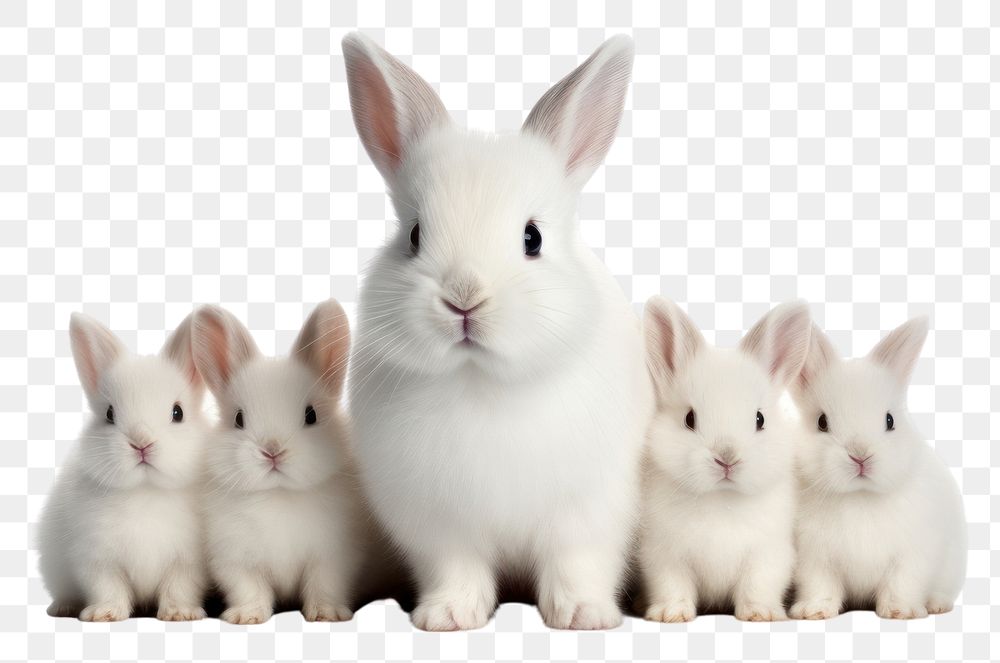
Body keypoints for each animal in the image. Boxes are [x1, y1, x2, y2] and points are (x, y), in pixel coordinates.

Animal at [37, 312, 208, 621]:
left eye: (177, 412)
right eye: (109, 413)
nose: (141, 442)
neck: (145, 490)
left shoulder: (188, 562)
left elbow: (179, 587)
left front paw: (179, 613)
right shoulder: (97, 559)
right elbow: (108, 587)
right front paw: (103, 614)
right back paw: (63, 607)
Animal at [192, 301, 367, 624]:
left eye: (311, 415)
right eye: (238, 419)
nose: (272, 450)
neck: (278, 494)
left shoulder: (333, 558)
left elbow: (324, 585)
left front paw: (327, 614)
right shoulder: (235, 561)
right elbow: (250, 589)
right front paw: (246, 617)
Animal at [341, 32, 654, 630]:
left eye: (532, 238)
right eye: (414, 235)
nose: (464, 297)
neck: (480, 381)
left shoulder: (586, 512)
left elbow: (575, 564)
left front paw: (583, 616)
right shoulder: (439, 526)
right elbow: (457, 569)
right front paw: (447, 616)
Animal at [638, 299, 812, 622]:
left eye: (760, 419)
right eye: (689, 418)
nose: (727, 458)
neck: (722, 499)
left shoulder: (768, 554)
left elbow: (757, 584)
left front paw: (760, 614)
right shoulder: (664, 556)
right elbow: (673, 585)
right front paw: (671, 614)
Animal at [788, 318, 966, 620]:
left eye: (890, 420)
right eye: (822, 422)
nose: (860, 456)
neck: (860, 496)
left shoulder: (912, 555)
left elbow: (902, 583)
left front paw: (900, 611)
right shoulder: (814, 559)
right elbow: (820, 585)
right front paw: (815, 611)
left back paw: (937, 605)